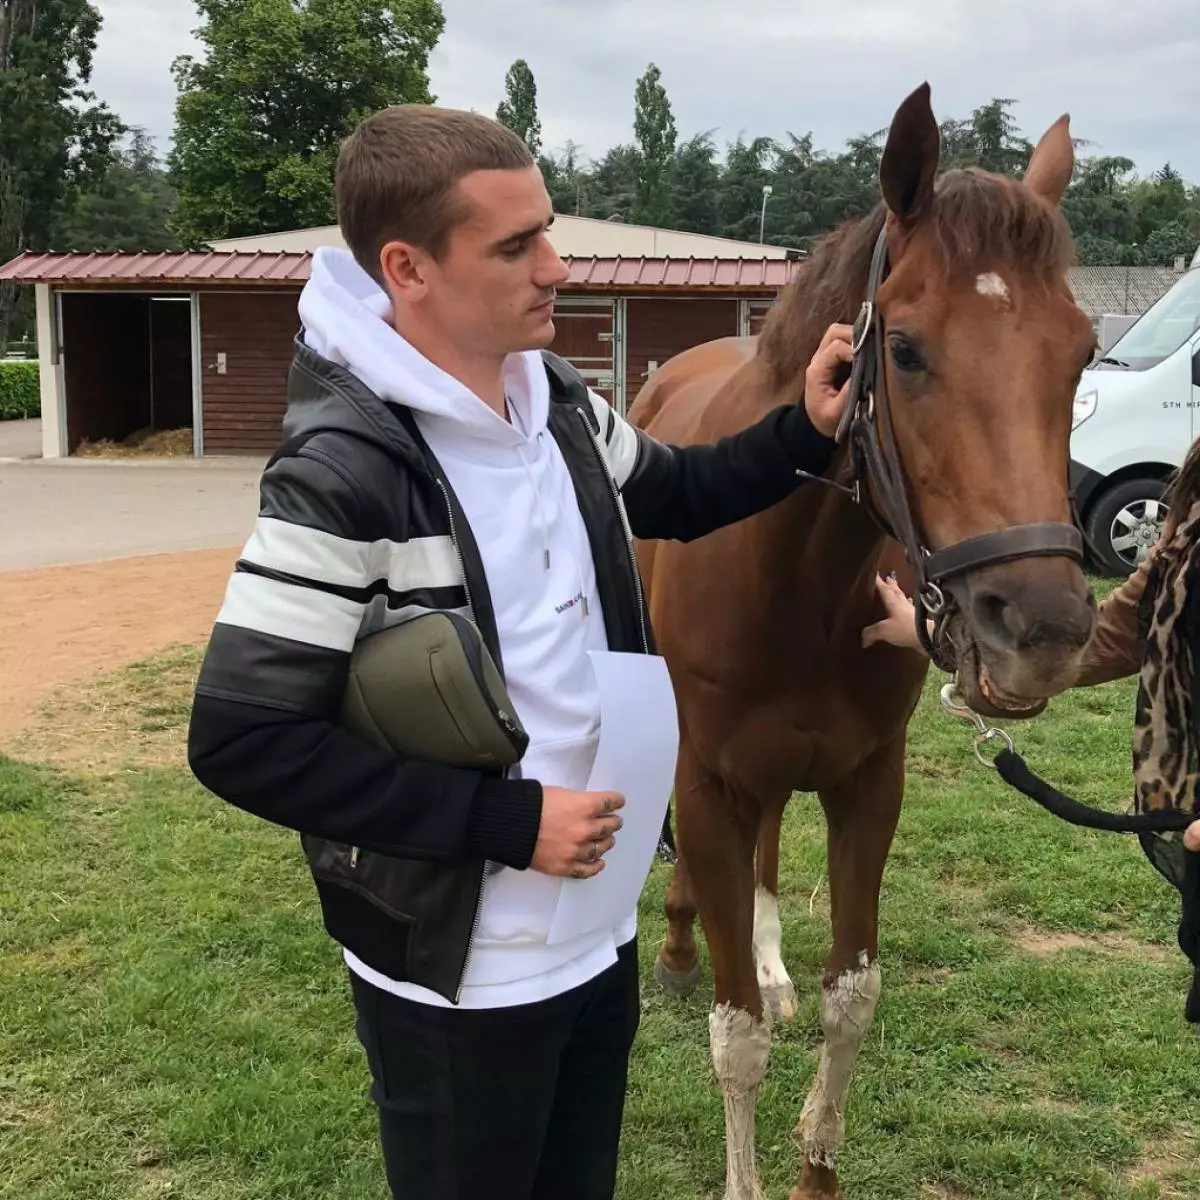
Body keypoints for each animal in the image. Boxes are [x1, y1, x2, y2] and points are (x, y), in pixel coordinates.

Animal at [633, 79, 1099, 1195]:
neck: (793, 578)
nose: (1043, 630)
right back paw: (679, 952)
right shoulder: (708, 782)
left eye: (1081, 350)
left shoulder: (866, 784)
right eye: (906, 348)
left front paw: (816, 1163)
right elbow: (737, 1036)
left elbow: (852, 999)